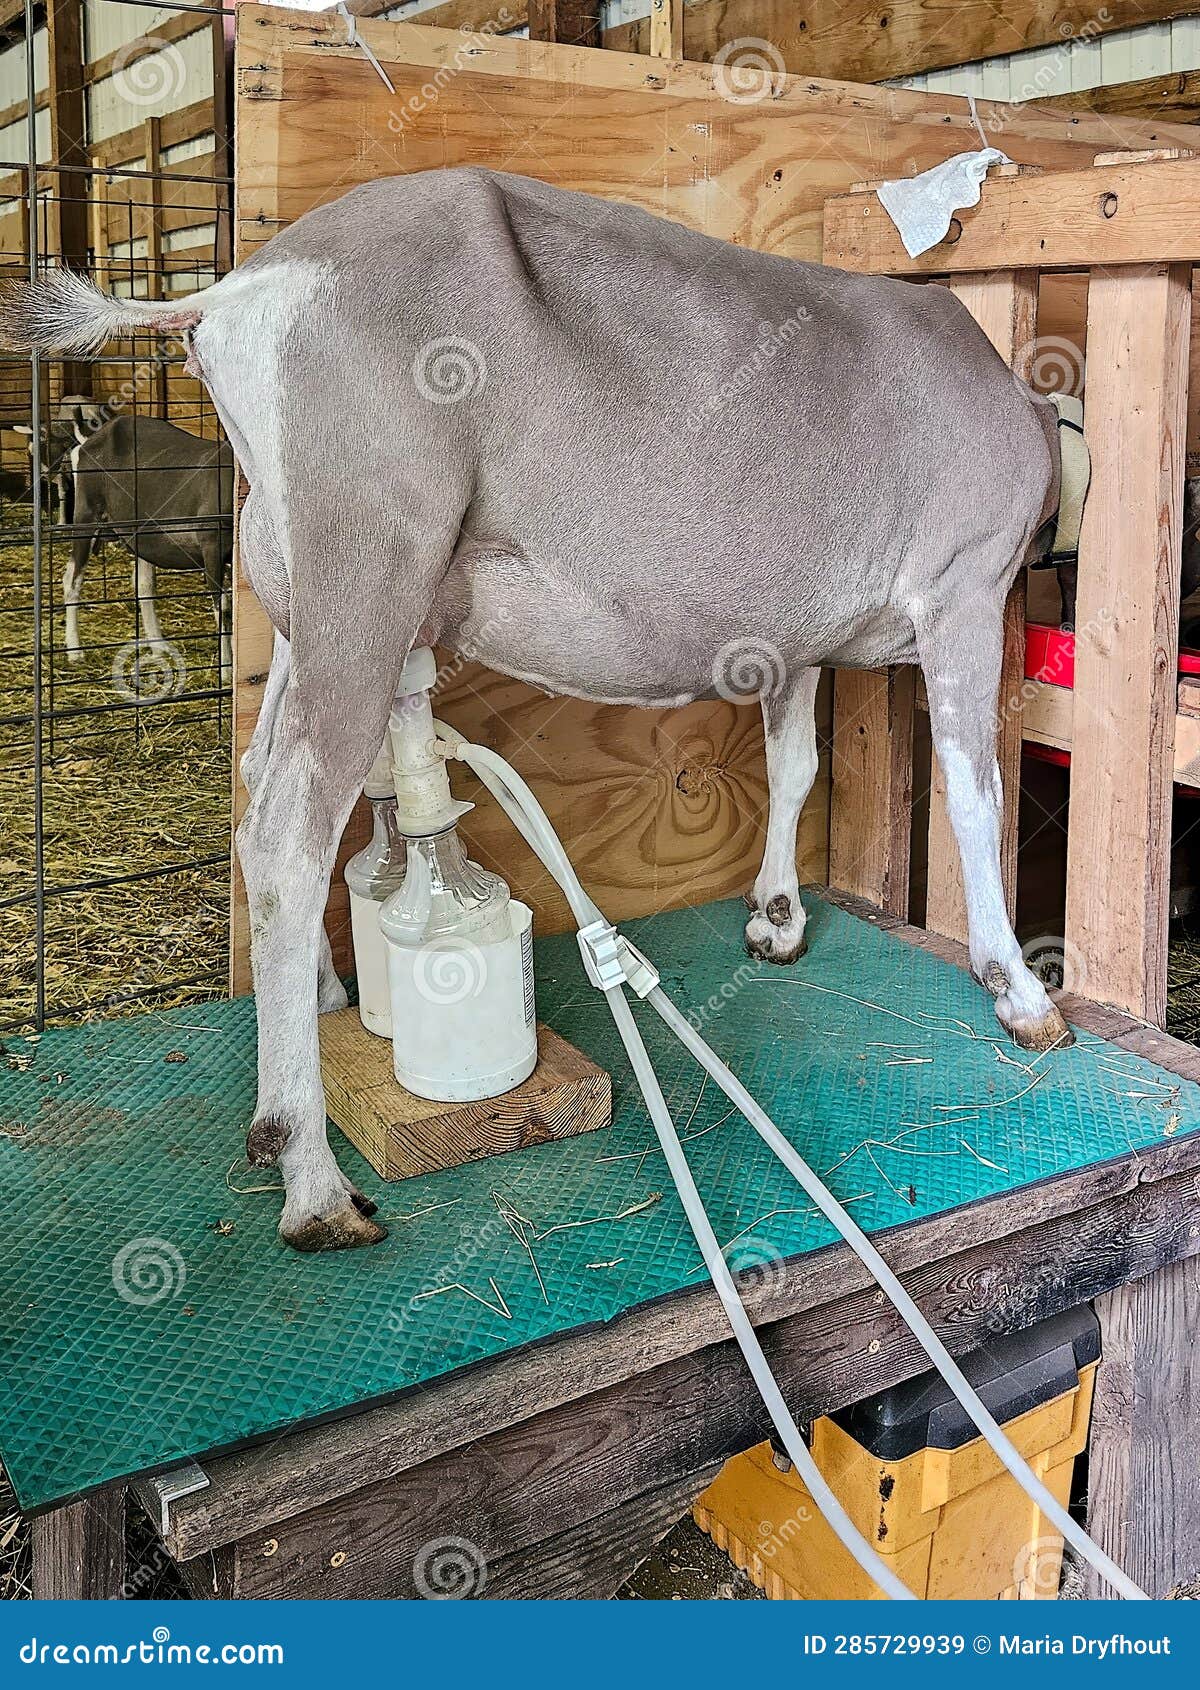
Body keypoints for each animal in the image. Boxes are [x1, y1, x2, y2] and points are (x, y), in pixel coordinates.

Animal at [0, 168, 1076, 1252]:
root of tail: (230, 295)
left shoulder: (794, 635)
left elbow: (794, 767)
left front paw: (775, 919)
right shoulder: (965, 582)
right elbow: (975, 788)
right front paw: (1021, 991)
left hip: (297, 588)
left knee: (262, 776)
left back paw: (329, 997)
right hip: (367, 561)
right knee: (285, 832)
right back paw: (311, 1177)